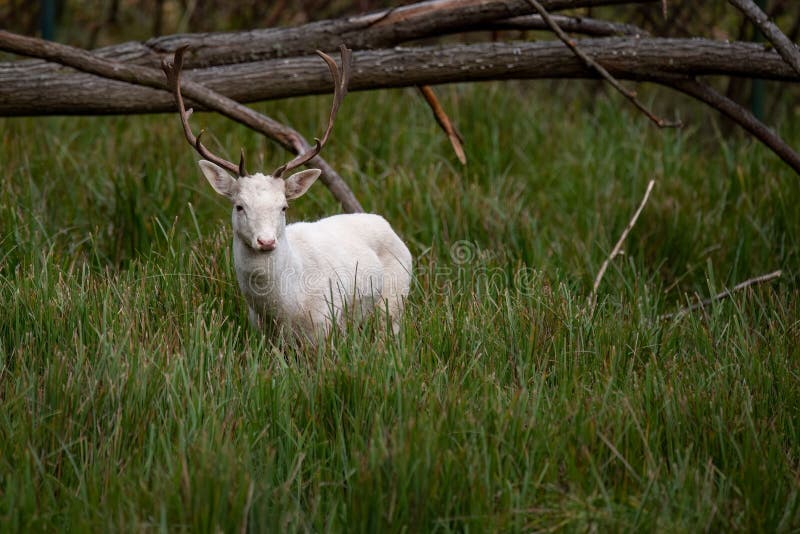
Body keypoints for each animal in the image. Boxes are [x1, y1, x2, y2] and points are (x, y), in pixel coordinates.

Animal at [162, 46, 412, 342]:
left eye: (283, 207)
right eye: (239, 206)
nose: (266, 241)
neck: (286, 312)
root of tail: (385, 223)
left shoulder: (326, 325)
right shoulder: (261, 334)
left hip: (394, 302)